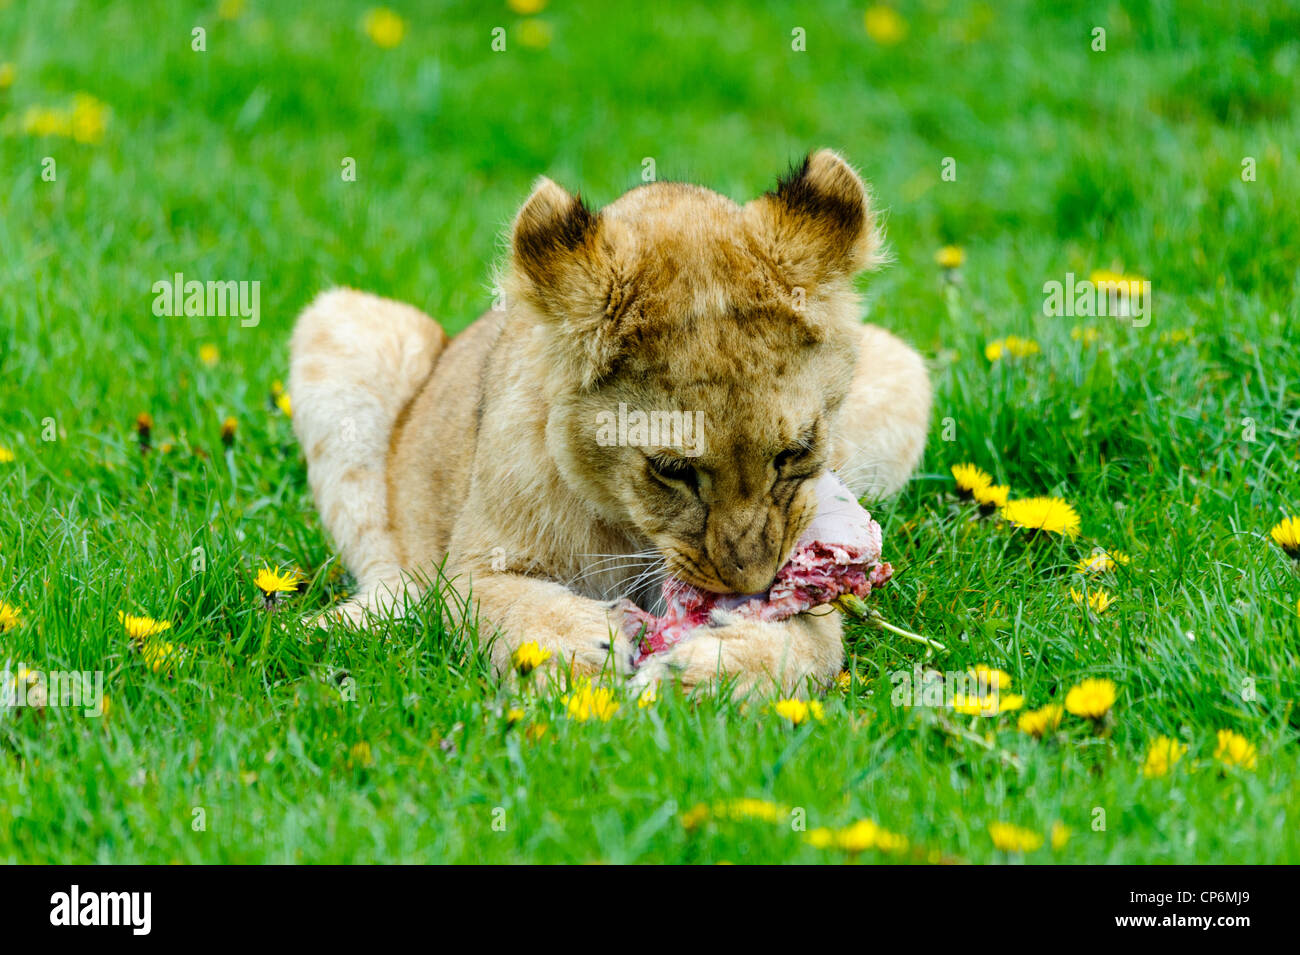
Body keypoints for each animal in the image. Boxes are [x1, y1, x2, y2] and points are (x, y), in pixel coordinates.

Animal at [288, 149, 931, 695]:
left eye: (795, 451)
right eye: (671, 470)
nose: (750, 586)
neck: (632, 524)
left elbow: (806, 646)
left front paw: (701, 680)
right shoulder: (471, 569)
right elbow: (514, 606)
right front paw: (581, 658)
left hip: (905, 369)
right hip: (344, 321)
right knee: (390, 570)